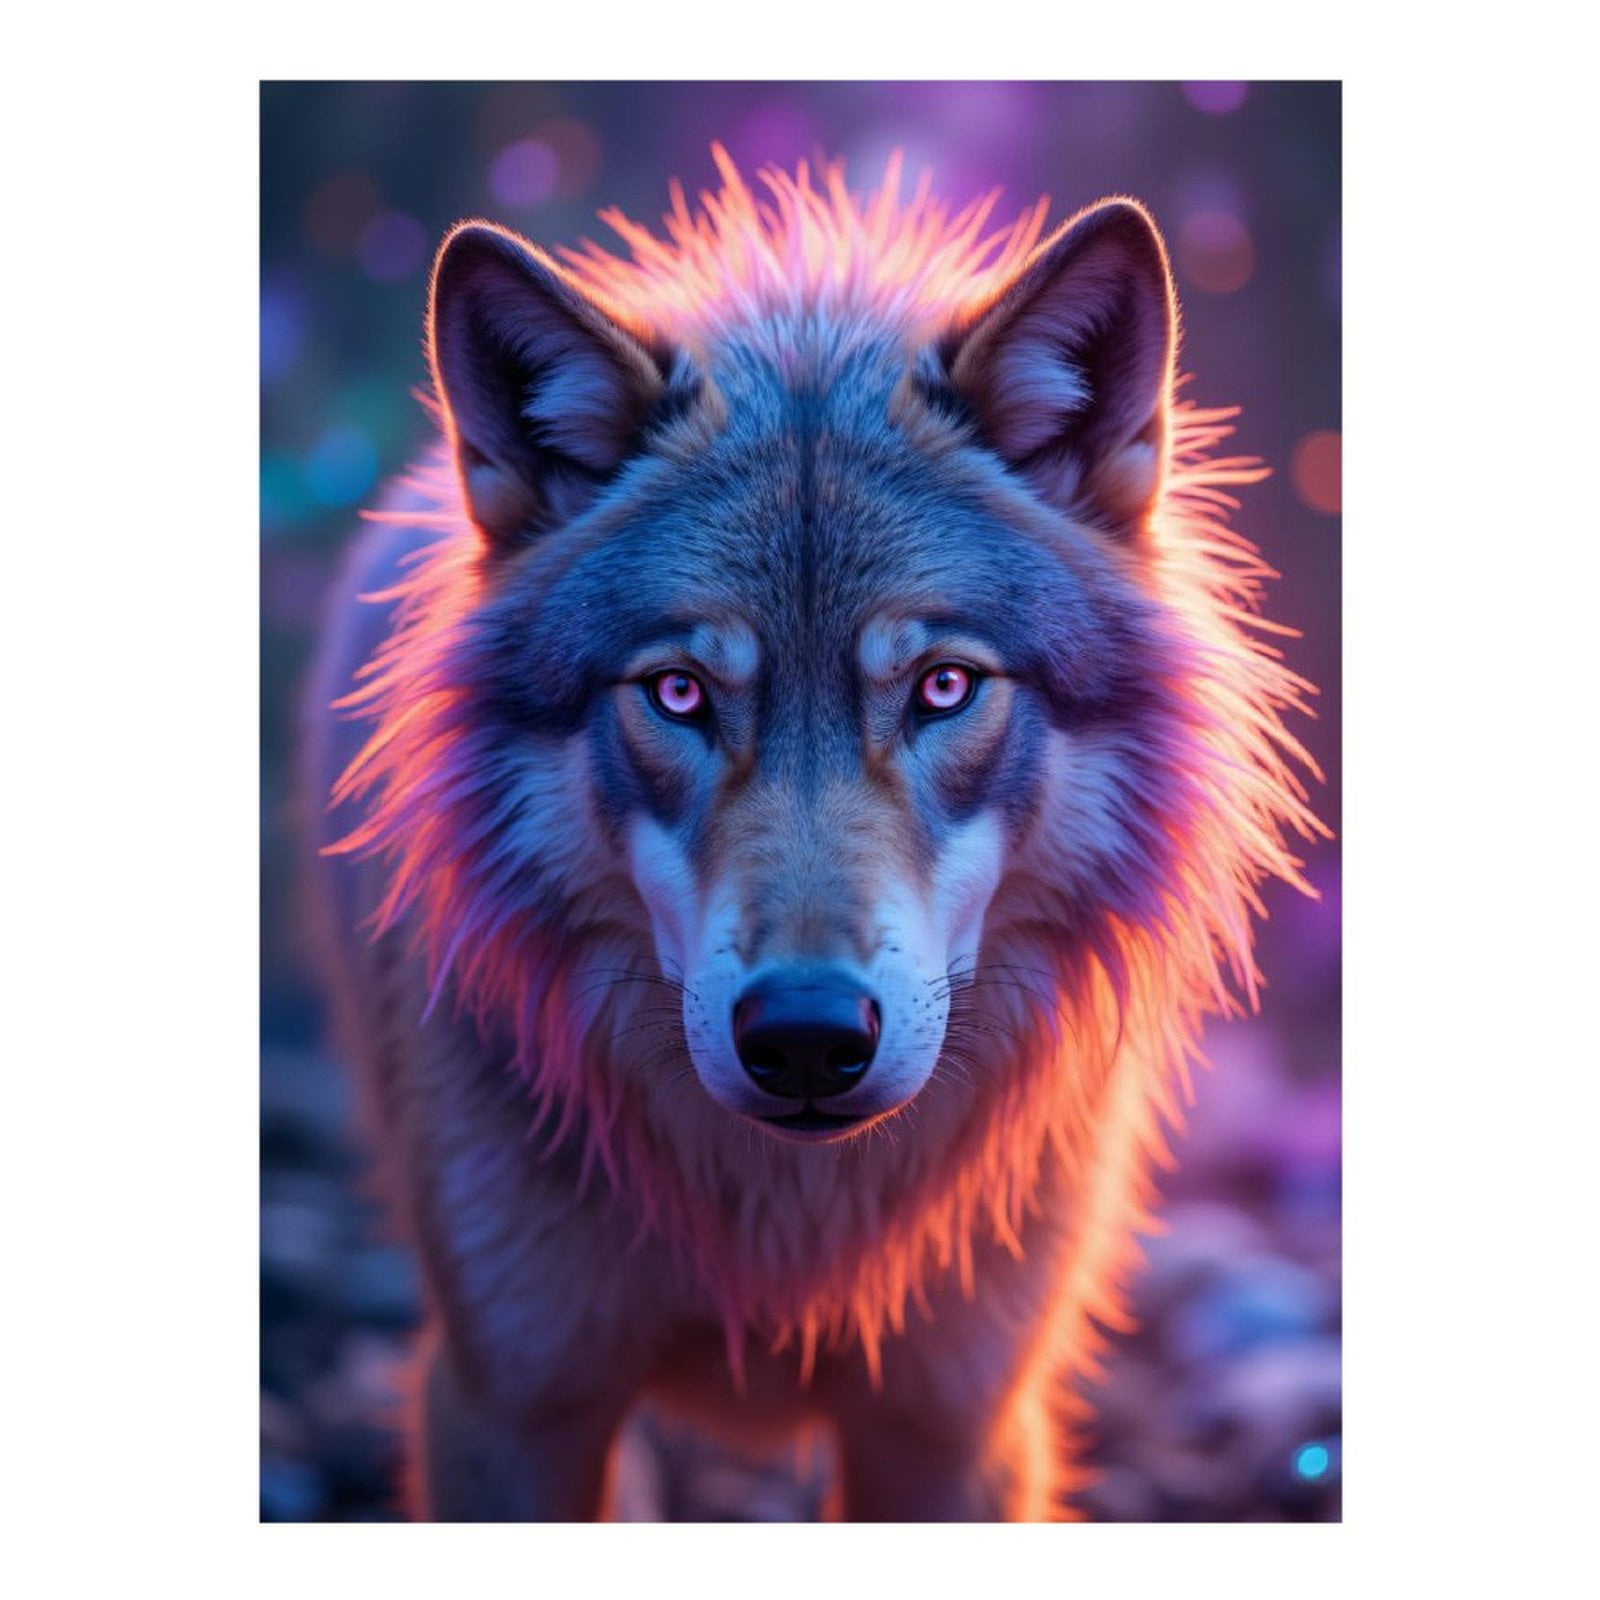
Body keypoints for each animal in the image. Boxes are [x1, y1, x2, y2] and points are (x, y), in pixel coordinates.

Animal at [303, 150, 1323, 1521]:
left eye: (942, 686)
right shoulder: (507, 1403)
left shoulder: (952, 1429)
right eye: (680, 692)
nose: (803, 1037)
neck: (785, 1227)